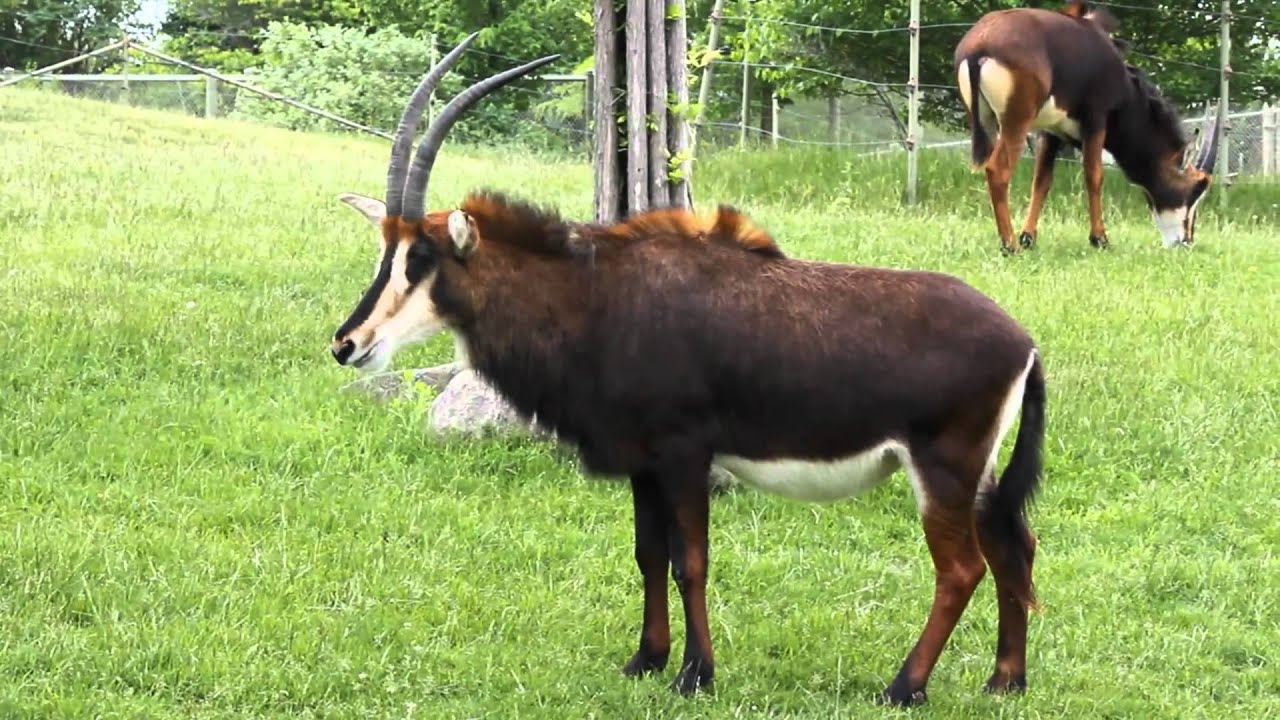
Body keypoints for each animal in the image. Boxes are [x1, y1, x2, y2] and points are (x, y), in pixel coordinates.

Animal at [327, 33, 1048, 708]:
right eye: (384, 251)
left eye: (420, 258)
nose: (347, 343)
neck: (596, 297)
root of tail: (1024, 341)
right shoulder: (643, 463)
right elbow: (648, 556)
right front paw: (646, 659)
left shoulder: (683, 454)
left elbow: (690, 562)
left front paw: (696, 674)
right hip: (978, 471)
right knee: (1013, 544)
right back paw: (1005, 680)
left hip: (942, 467)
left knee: (961, 568)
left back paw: (905, 685)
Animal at [954, 1, 1222, 253]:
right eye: (1197, 189)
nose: (1185, 242)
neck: (1126, 88)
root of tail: (979, 46)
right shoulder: (1096, 119)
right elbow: (1094, 175)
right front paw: (1099, 239)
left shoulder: (1049, 131)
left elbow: (1042, 180)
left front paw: (1029, 237)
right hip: (1016, 121)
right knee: (998, 170)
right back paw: (1009, 245)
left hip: (987, 123)